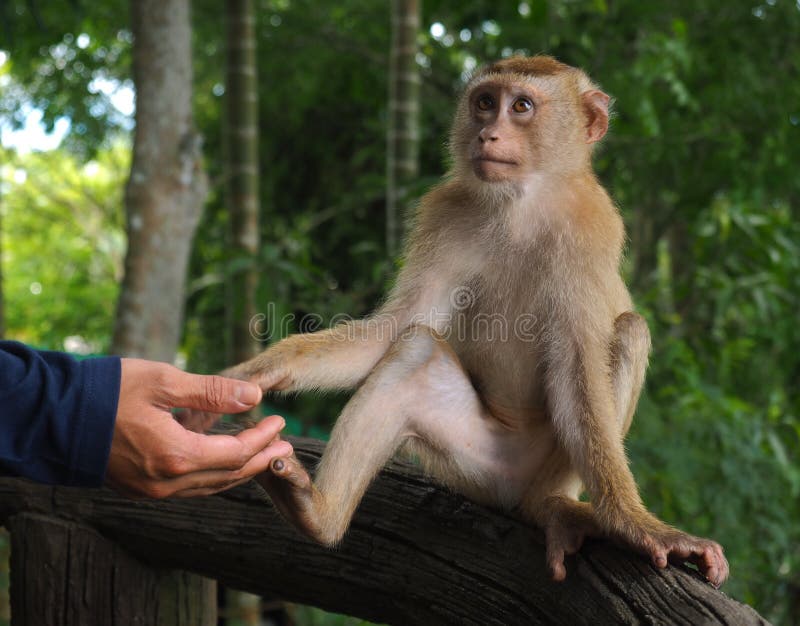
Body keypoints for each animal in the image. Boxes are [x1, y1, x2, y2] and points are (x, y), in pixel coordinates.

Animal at [224, 55, 729, 586]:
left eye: (521, 106)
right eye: (485, 102)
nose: (488, 134)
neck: (522, 202)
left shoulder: (592, 226)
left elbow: (577, 369)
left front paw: (635, 523)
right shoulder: (446, 213)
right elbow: (396, 327)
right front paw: (252, 374)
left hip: (547, 462)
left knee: (630, 329)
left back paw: (550, 505)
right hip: (478, 466)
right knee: (417, 350)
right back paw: (316, 514)